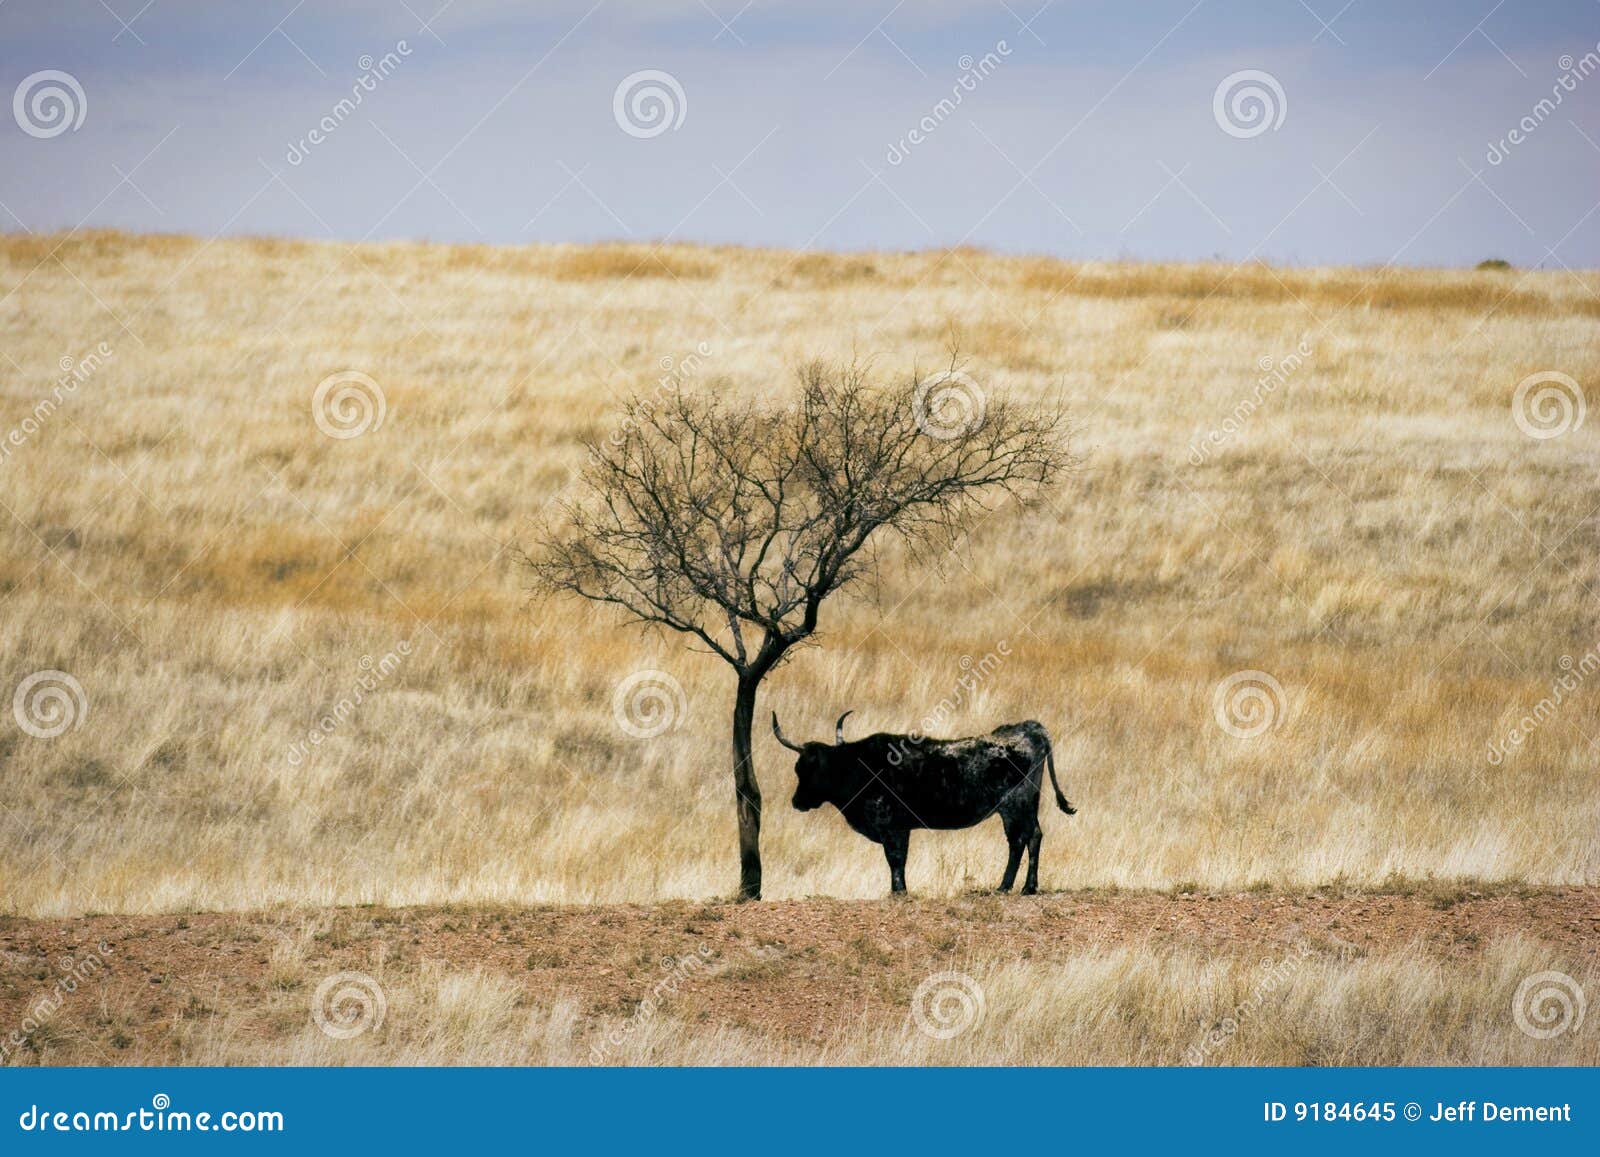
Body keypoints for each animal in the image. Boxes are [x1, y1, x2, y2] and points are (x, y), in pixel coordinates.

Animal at [771, 710, 1076, 896]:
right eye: (799, 767)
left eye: (808, 769)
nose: (797, 801)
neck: (858, 767)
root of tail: (1030, 728)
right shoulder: (900, 829)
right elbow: (899, 861)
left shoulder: (892, 827)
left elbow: (895, 860)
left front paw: (898, 892)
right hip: (1025, 805)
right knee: (1030, 837)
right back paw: (1016, 886)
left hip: (1015, 805)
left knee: (1022, 839)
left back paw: (1017, 887)